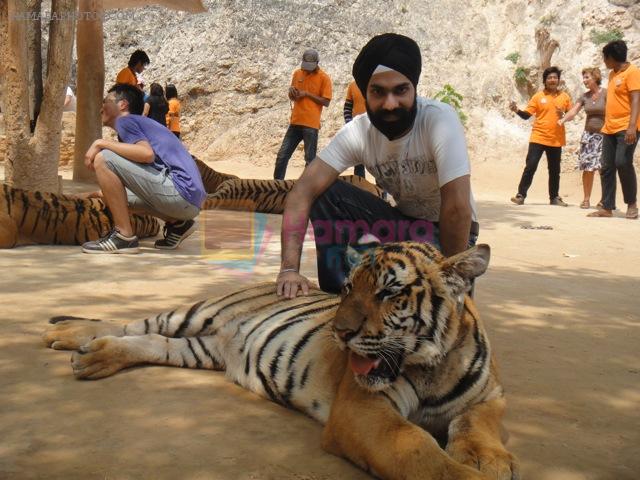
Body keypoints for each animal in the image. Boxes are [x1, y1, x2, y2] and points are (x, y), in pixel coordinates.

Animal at [43, 241, 518, 480]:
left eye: (388, 292)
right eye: (348, 287)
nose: (340, 333)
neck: (434, 366)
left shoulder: (491, 395)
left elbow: (478, 424)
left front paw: (489, 459)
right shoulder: (363, 409)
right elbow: (419, 452)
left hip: (199, 349)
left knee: (152, 342)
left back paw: (93, 358)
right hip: (196, 312)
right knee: (130, 322)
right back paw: (64, 335)